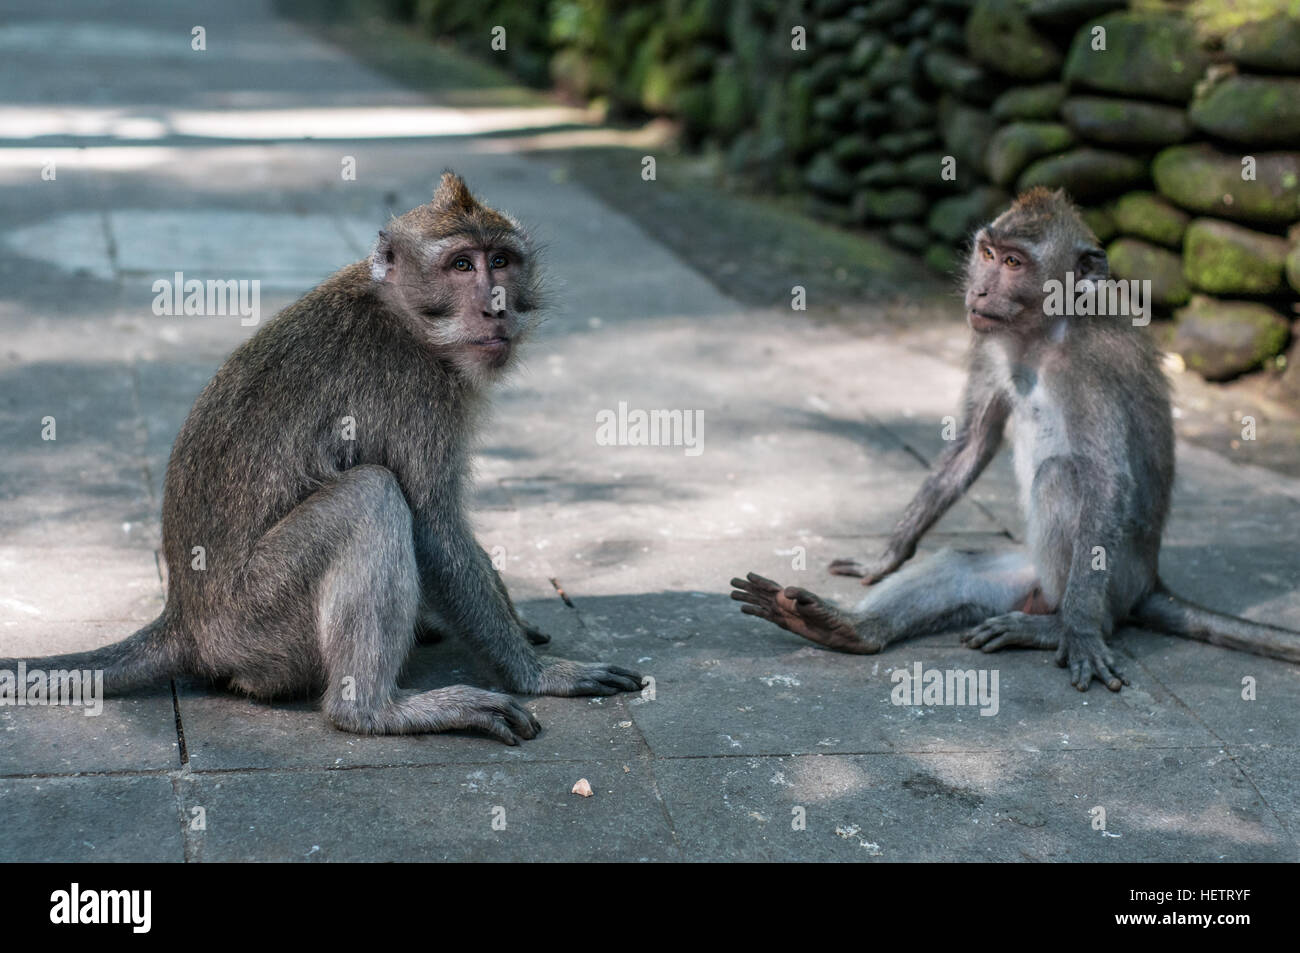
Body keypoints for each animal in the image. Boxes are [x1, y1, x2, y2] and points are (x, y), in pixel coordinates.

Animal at [1, 171, 642, 744]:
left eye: (502, 260)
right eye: (463, 266)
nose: (497, 306)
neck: (404, 316)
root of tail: (184, 621)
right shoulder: (415, 393)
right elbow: (434, 532)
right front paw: (537, 675)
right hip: (257, 621)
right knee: (372, 493)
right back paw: (374, 711)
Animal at [732, 187, 1300, 691]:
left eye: (1014, 262)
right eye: (987, 255)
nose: (980, 291)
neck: (1045, 332)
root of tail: (1151, 581)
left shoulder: (1092, 364)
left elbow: (1106, 477)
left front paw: (1080, 635)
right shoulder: (989, 343)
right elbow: (972, 443)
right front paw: (885, 557)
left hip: (1113, 583)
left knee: (1063, 478)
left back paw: (1061, 628)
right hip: (1027, 574)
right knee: (958, 565)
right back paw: (846, 628)